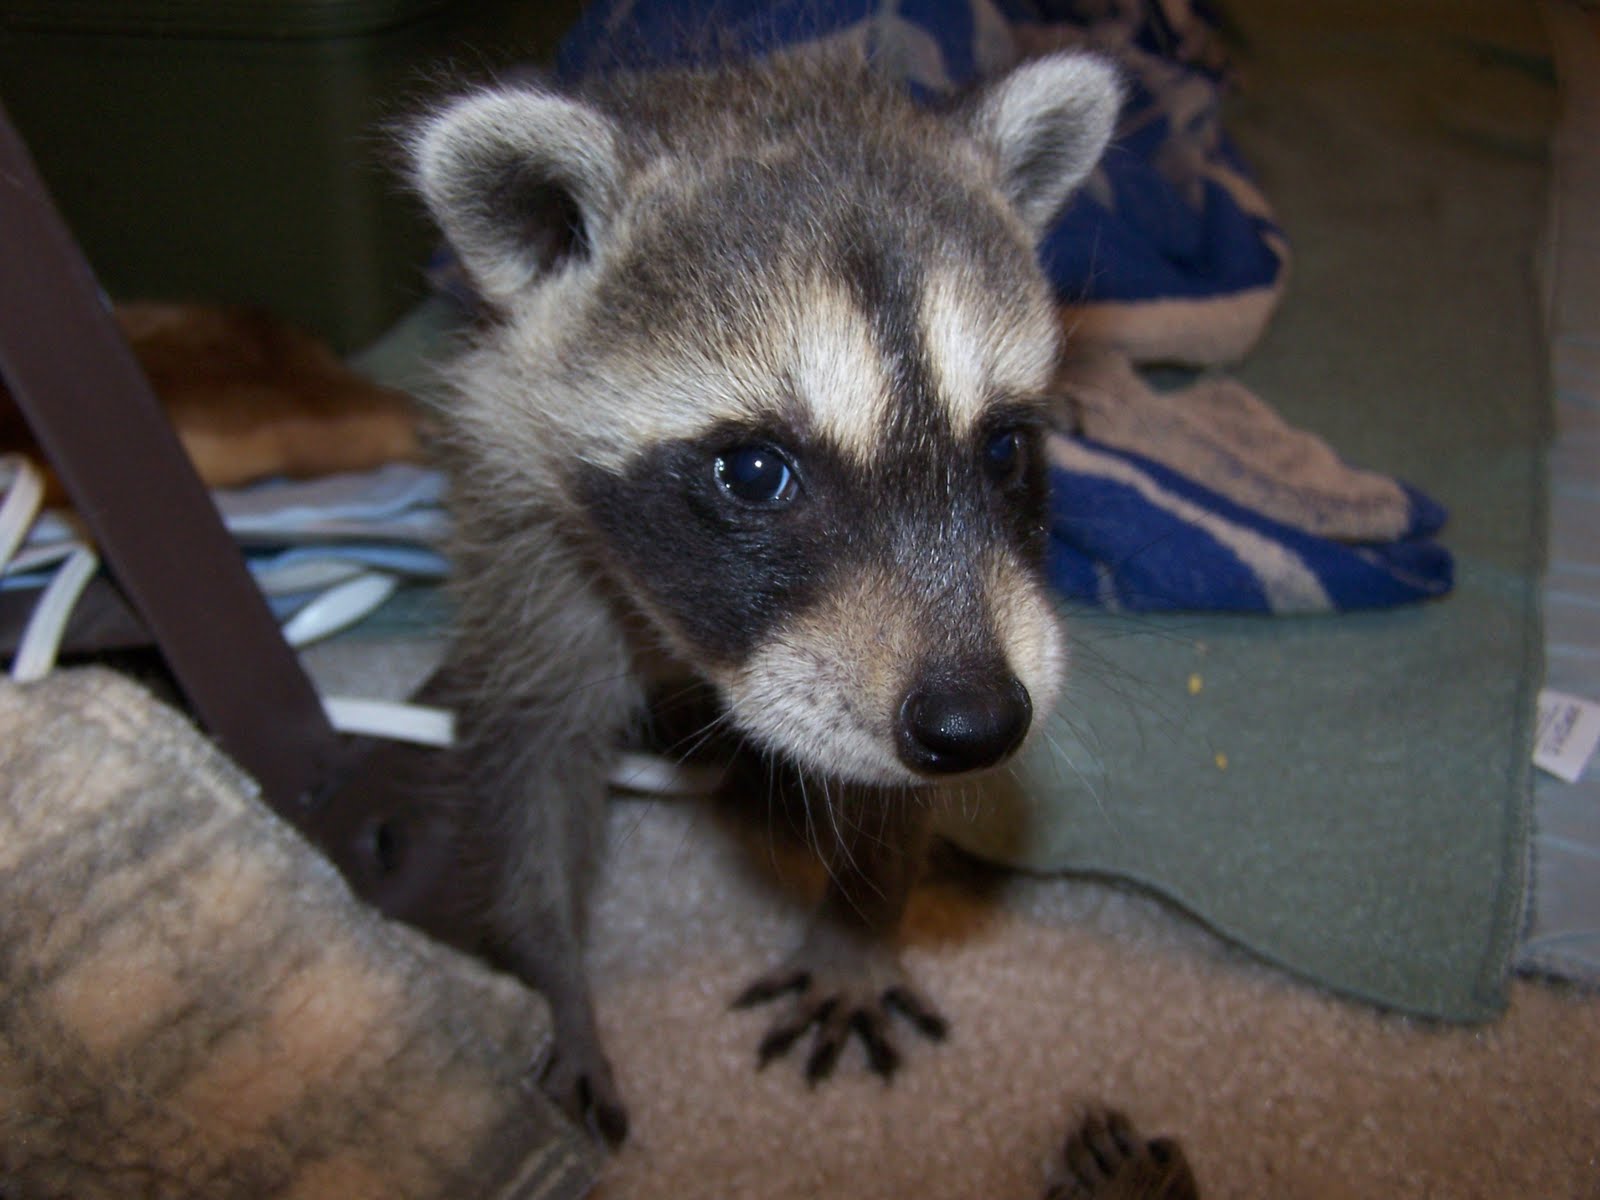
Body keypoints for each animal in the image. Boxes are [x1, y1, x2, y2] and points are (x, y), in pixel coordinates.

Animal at [408, 46, 1120, 1143]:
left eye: (1004, 448)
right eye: (753, 472)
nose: (982, 727)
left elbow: (890, 767)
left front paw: (860, 915)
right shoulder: (523, 520)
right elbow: (527, 760)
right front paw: (546, 979)